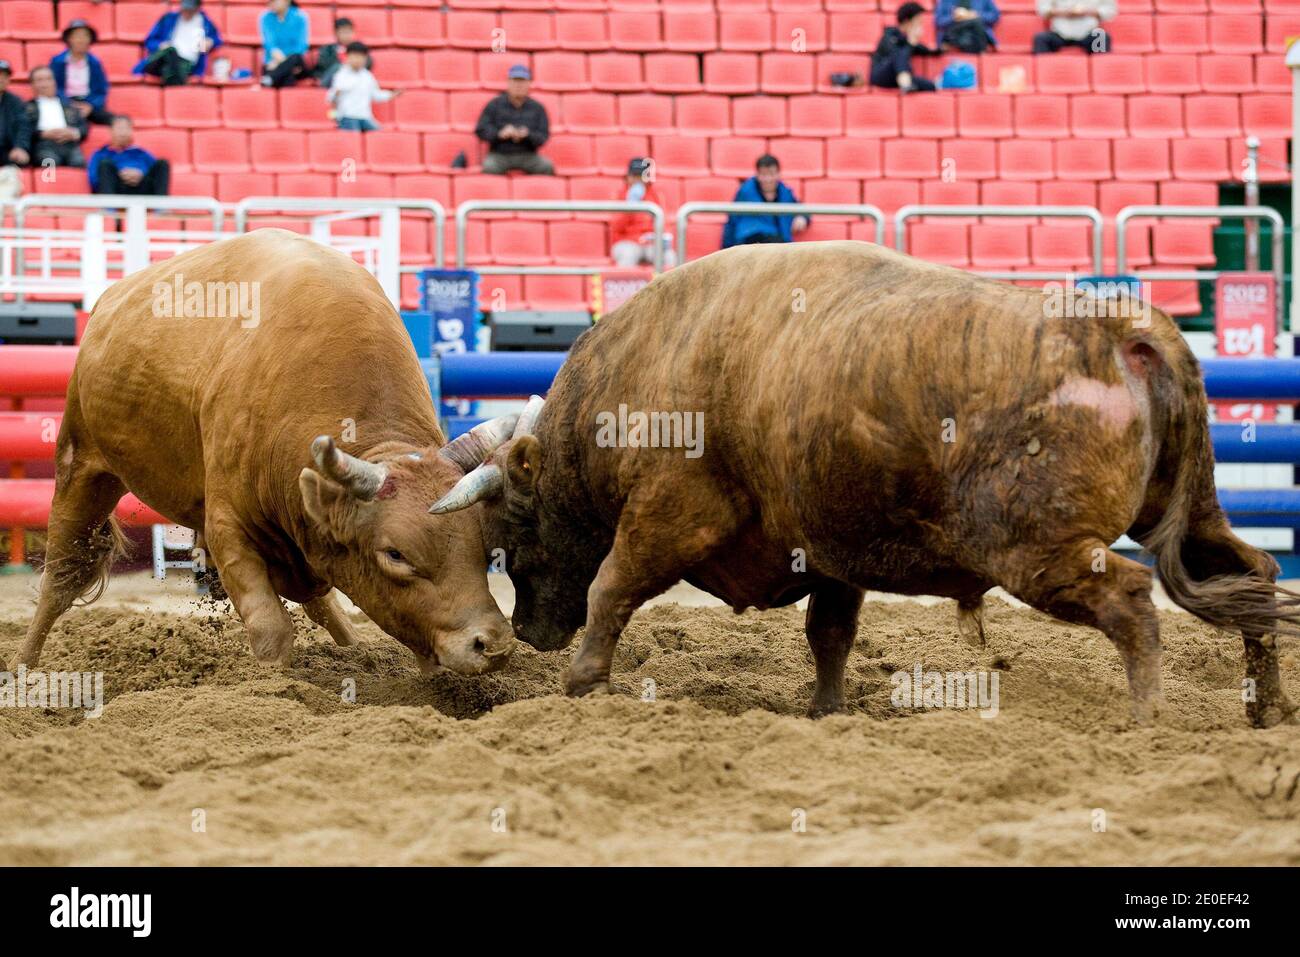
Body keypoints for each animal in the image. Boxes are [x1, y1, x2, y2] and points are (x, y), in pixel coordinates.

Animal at [10, 229, 517, 677]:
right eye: (395, 554)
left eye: (484, 545)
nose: (491, 644)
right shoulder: (228, 526)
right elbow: (271, 626)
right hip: (83, 467)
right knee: (61, 577)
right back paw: (24, 666)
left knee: (321, 602)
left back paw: (355, 649)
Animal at [433, 240, 1299, 728]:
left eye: (512, 535)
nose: (528, 633)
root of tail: (1125, 332)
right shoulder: (830, 548)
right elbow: (831, 632)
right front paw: (825, 710)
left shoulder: (671, 512)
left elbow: (611, 586)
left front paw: (582, 681)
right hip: (1187, 516)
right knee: (1254, 574)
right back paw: (1264, 704)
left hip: (1039, 550)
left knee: (1130, 599)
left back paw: (1147, 715)